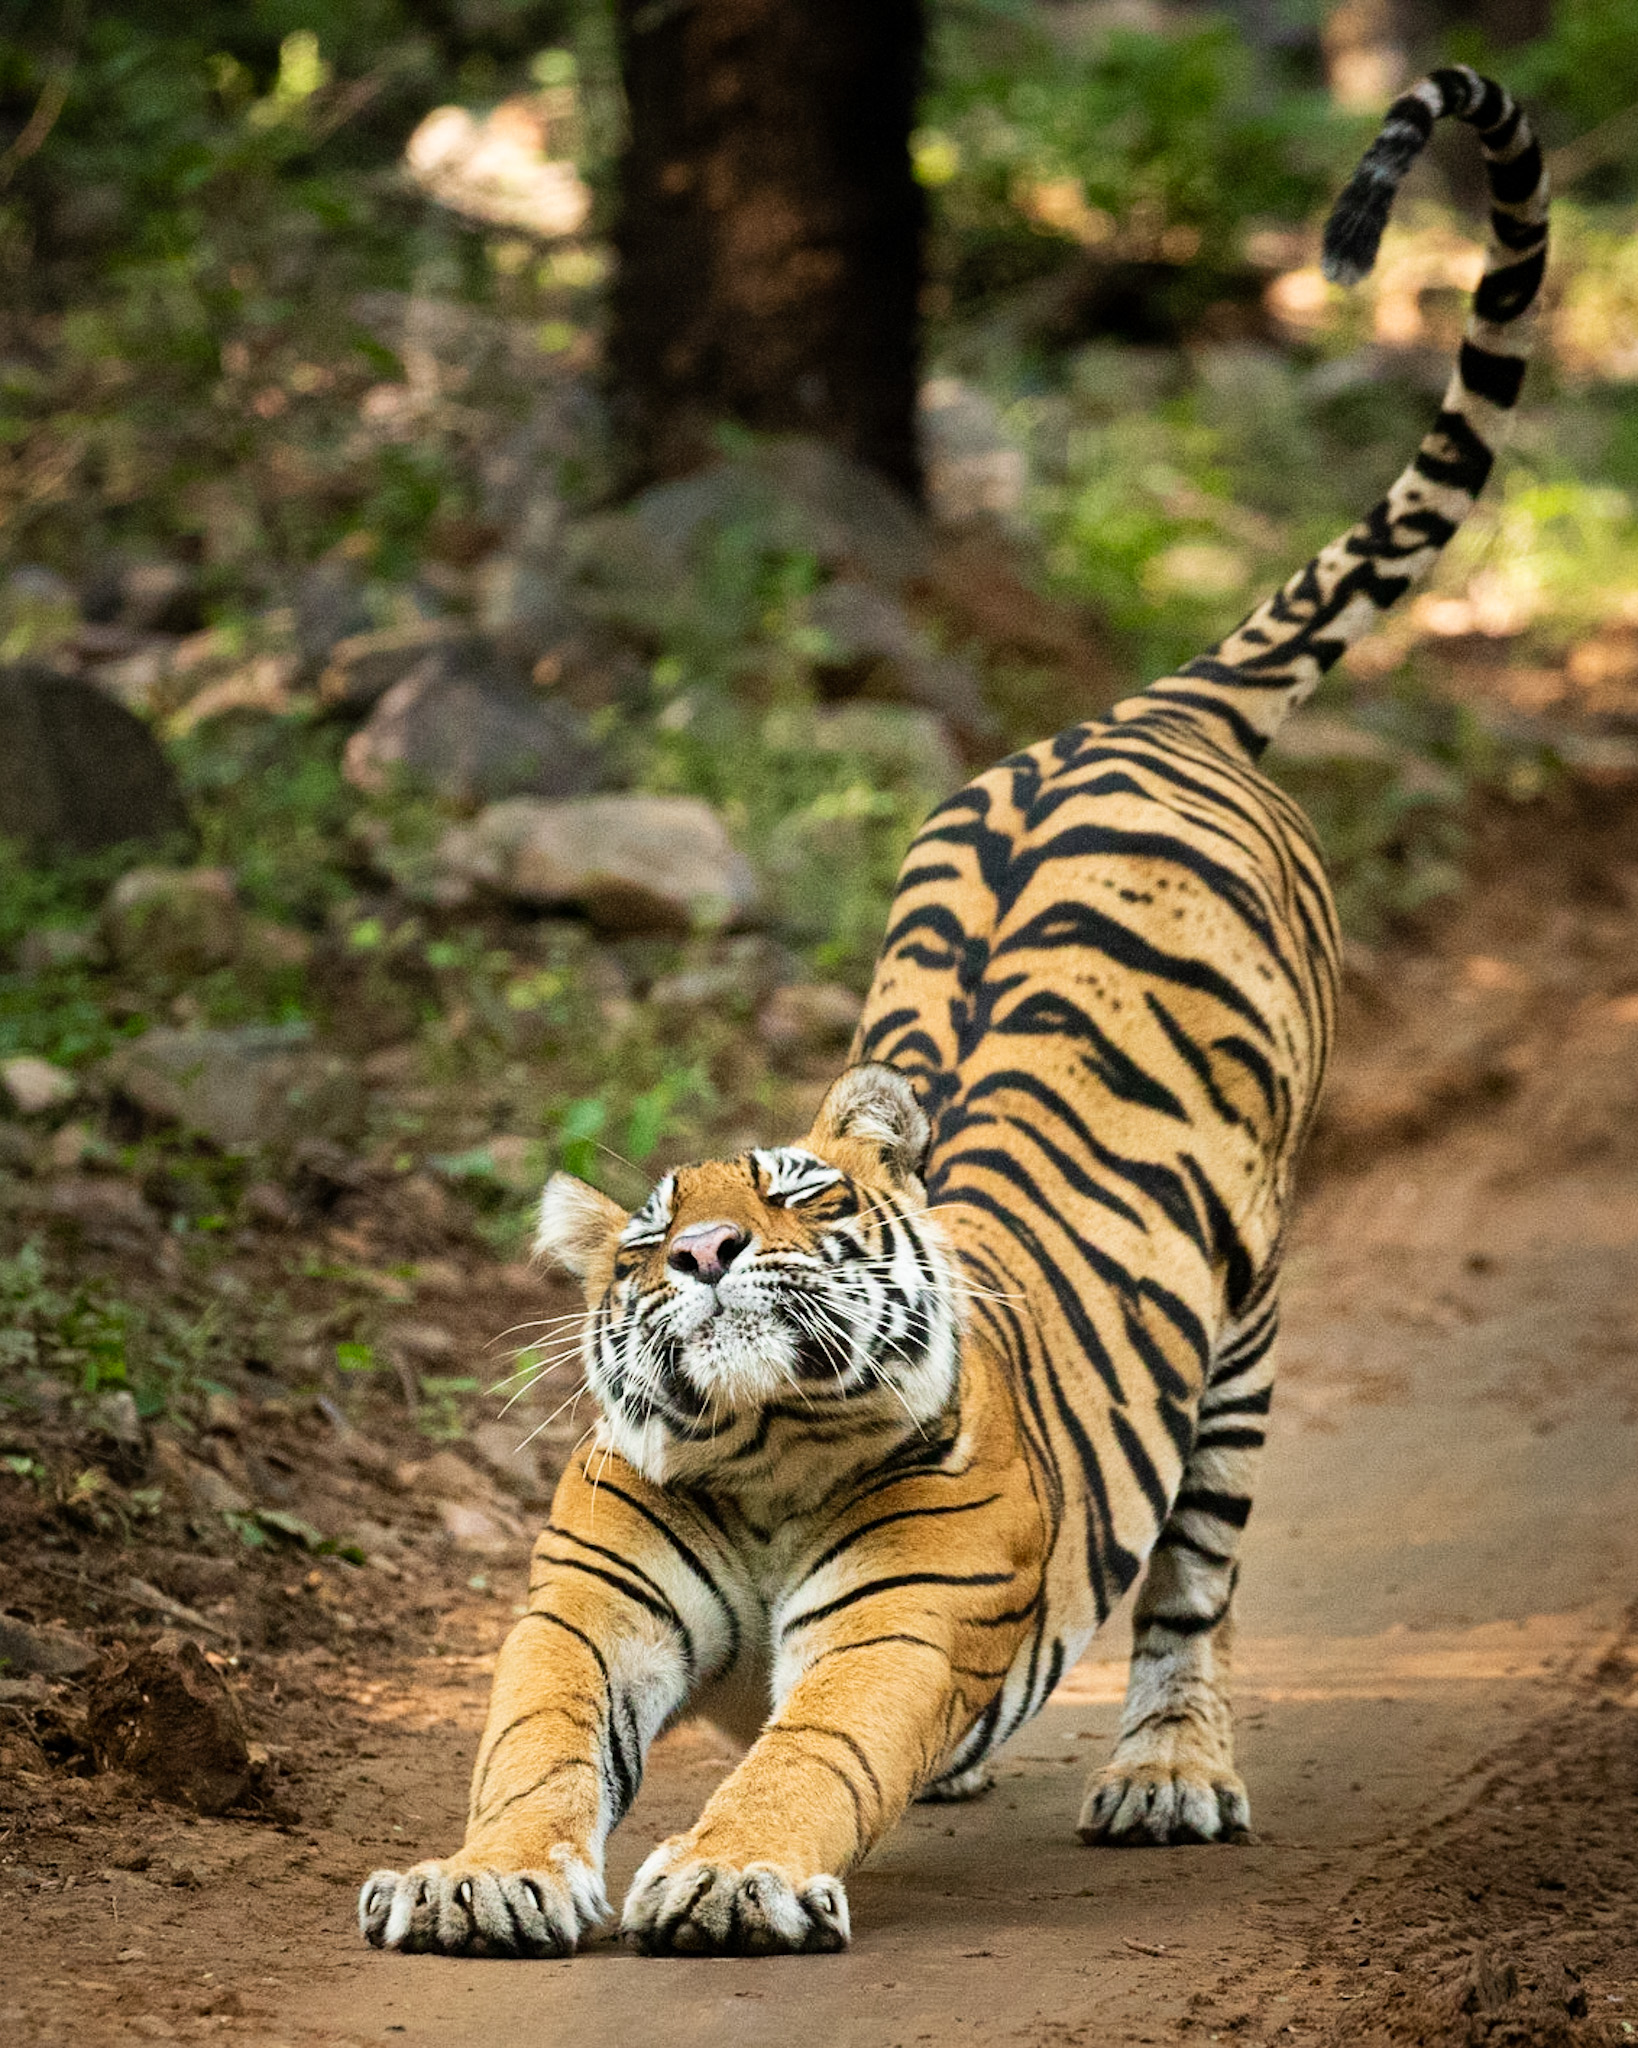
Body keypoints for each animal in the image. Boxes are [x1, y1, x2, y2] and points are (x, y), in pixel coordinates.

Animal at [359, 69, 1547, 1959]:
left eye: (797, 1196)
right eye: (649, 1239)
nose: (709, 1257)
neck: (763, 1457)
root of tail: (1142, 713)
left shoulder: (901, 1623)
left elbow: (806, 1751)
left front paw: (732, 1871)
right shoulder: (580, 1614)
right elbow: (530, 1754)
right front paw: (479, 1883)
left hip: (1247, 1330)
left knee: (1195, 1584)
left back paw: (1166, 1775)